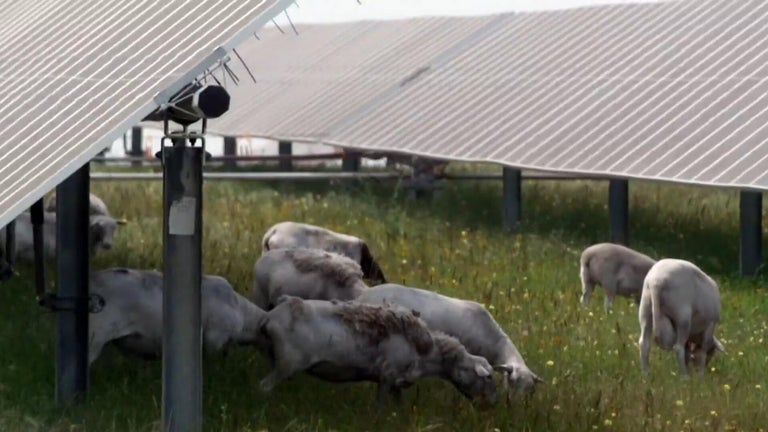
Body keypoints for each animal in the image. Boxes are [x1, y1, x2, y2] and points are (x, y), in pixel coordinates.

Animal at [258, 295, 497, 407]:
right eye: (487, 377)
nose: (490, 405)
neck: (427, 352)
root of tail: (270, 316)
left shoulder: (397, 381)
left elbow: (400, 405)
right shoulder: (387, 375)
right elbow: (379, 407)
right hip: (288, 363)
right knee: (263, 387)